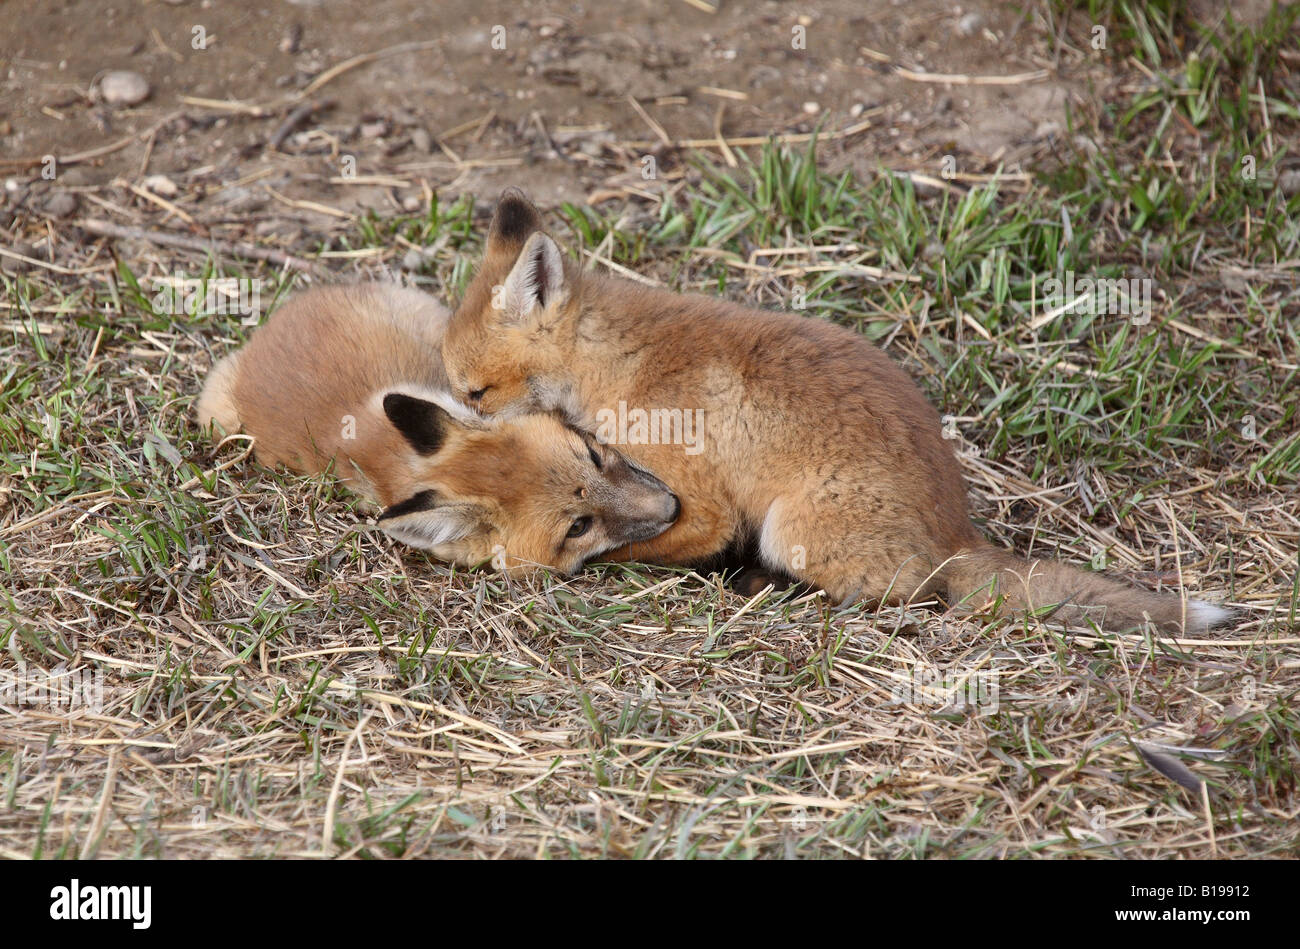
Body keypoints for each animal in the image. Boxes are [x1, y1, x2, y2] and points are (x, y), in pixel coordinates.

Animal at [195, 282, 680, 575]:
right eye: (578, 528)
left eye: (593, 455)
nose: (673, 506)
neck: (389, 453)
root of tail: (271, 327)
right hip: (219, 419)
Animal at [438, 191, 1232, 632]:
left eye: (475, 393)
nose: (442, 445)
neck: (617, 358)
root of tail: (958, 533)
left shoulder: (700, 498)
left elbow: (644, 546)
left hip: (793, 528)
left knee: (905, 595)